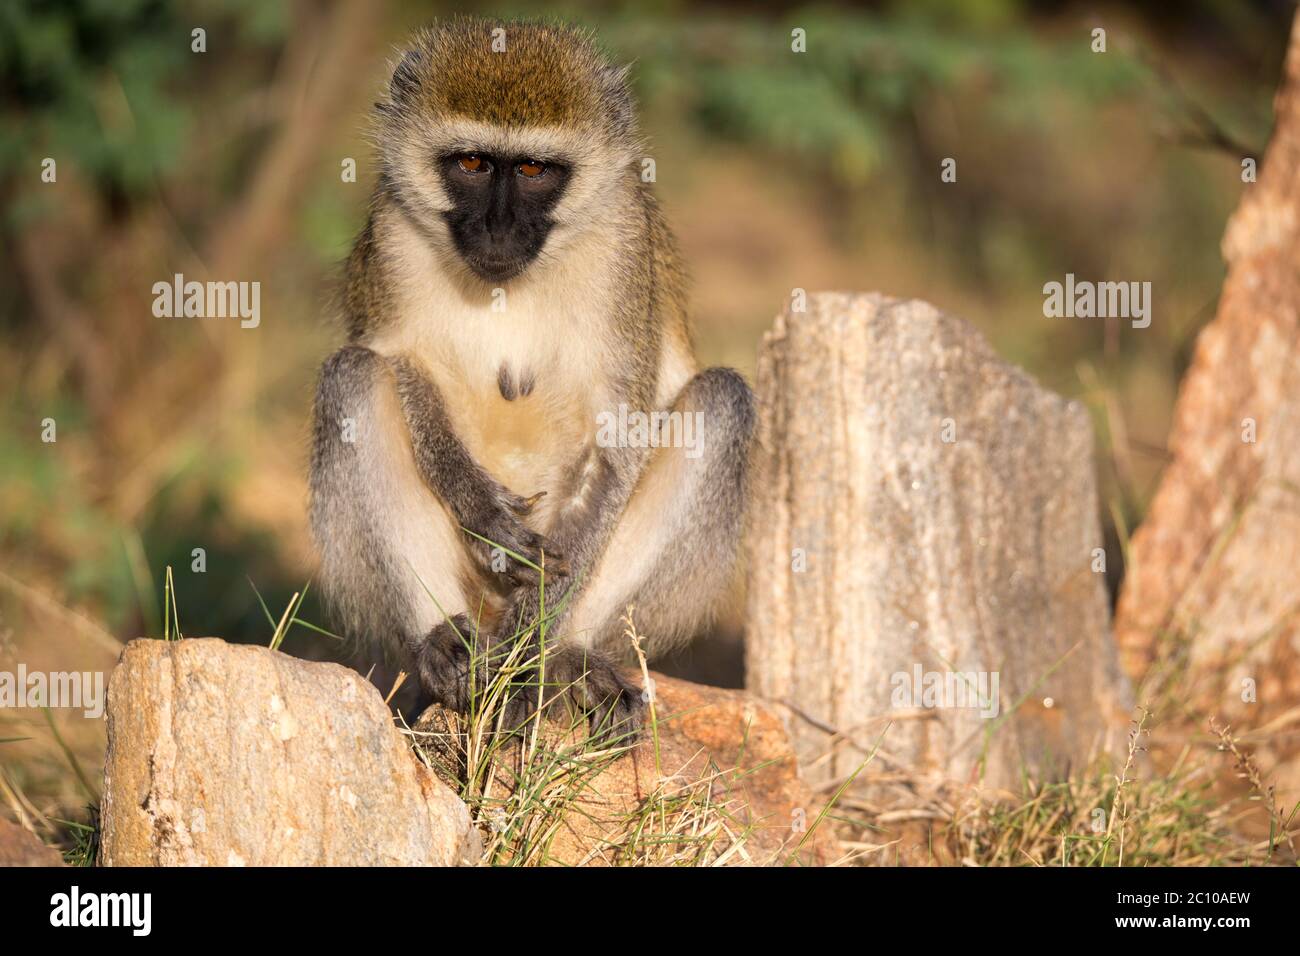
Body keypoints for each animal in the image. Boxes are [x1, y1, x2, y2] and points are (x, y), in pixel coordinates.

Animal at [309, 17, 755, 740]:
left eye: (534, 170)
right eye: (471, 164)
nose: (498, 226)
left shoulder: (622, 240)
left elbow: (617, 436)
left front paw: (526, 658)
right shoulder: (392, 226)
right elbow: (393, 360)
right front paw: (483, 512)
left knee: (721, 400)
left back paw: (561, 657)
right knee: (352, 376)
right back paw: (445, 646)